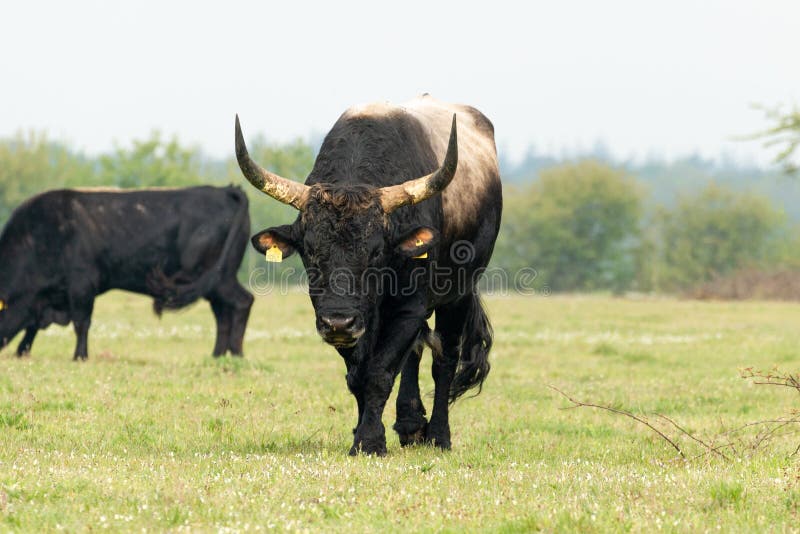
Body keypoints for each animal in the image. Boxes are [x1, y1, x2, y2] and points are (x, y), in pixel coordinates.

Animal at [0, 186, 253, 360]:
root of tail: (226, 190)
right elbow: (32, 326)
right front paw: (22, 352)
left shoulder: (82, 285)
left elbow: (81, 323)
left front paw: (79, 356)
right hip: (215, 283)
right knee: (222, 314)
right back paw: (218, 355)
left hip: (221, 278)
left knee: (243, 301)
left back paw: (237, 355)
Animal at [236, 95, 502, 455]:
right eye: (310, 251)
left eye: (376, 252)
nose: (338, 322)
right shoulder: (355, 322)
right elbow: (359, 375)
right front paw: (364, 431)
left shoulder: (409, 307)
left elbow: (380, 372)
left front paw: (371, 441)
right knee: (416, 353)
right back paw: (410, 425)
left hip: (458, 292)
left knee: (444, 360)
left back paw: (437, 436)